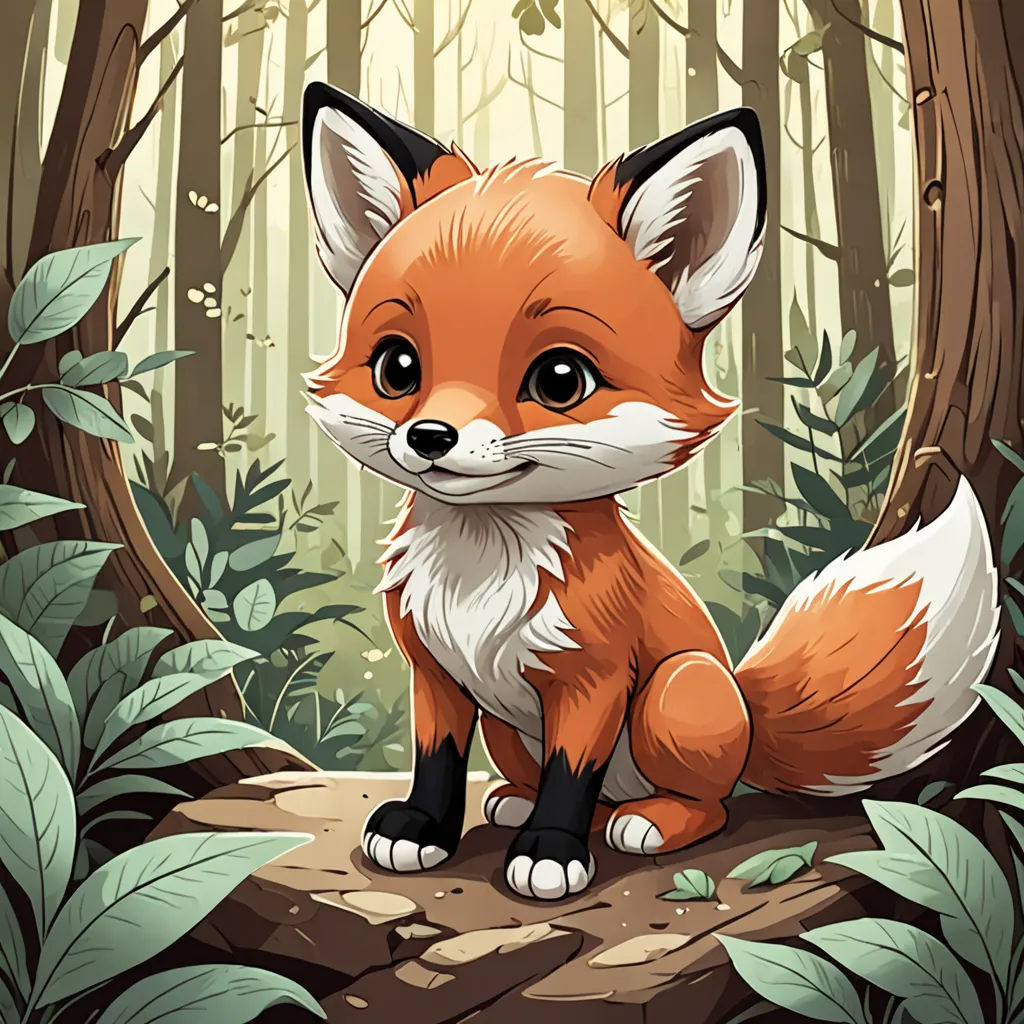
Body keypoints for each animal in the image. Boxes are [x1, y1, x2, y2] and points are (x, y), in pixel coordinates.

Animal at [299, 81, 1001, 902]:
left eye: (560, 380)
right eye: (397, 368)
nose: (431, 437)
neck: (480, 572)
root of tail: (749, 716)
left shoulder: (595, 679)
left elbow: (572, 774)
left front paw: (551, 852)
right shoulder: (435, 672)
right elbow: (437, 760)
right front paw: (423, 829)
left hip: (676, 691)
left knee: (707, 807)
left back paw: (647, 823)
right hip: (512, 726)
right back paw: (515, 803)